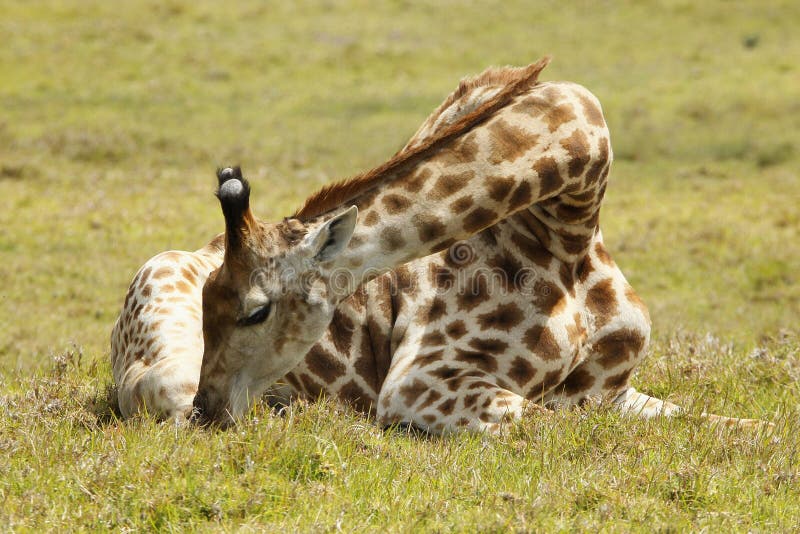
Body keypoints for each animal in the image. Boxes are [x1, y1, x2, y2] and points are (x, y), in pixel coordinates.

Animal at [109, 59, 764, 436]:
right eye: (211, 305)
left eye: (255, 310)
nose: (211, 407)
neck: (572, 223)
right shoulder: (420, 383)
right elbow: (568, 427)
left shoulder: (613, 392)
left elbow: (729, 425)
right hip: (164, 363)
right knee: (152, 390)